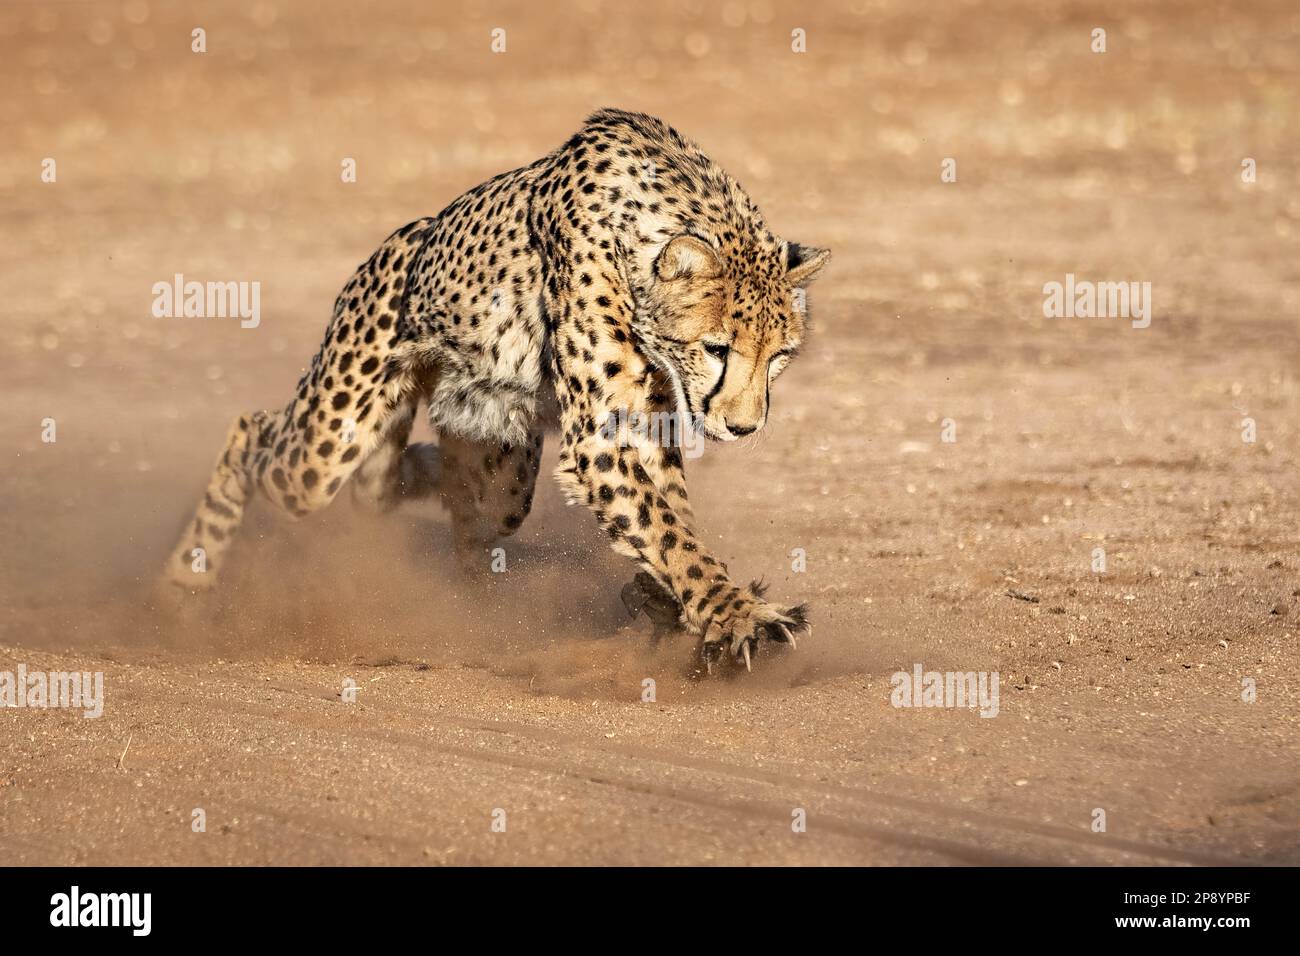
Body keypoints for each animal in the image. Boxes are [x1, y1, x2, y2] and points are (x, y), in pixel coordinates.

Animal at [157, 108, 830, 673]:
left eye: (779, 357)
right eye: (717, 349)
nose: (742, 427)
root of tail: (401, 238)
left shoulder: (646, 422)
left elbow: (671, 518)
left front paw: (682, 605)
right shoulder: (600, 439)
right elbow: (666, 529)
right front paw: (736, 613)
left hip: (500, 471)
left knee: (440, 493)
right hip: (326, 447)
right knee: (253, 433)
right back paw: (185, 580)